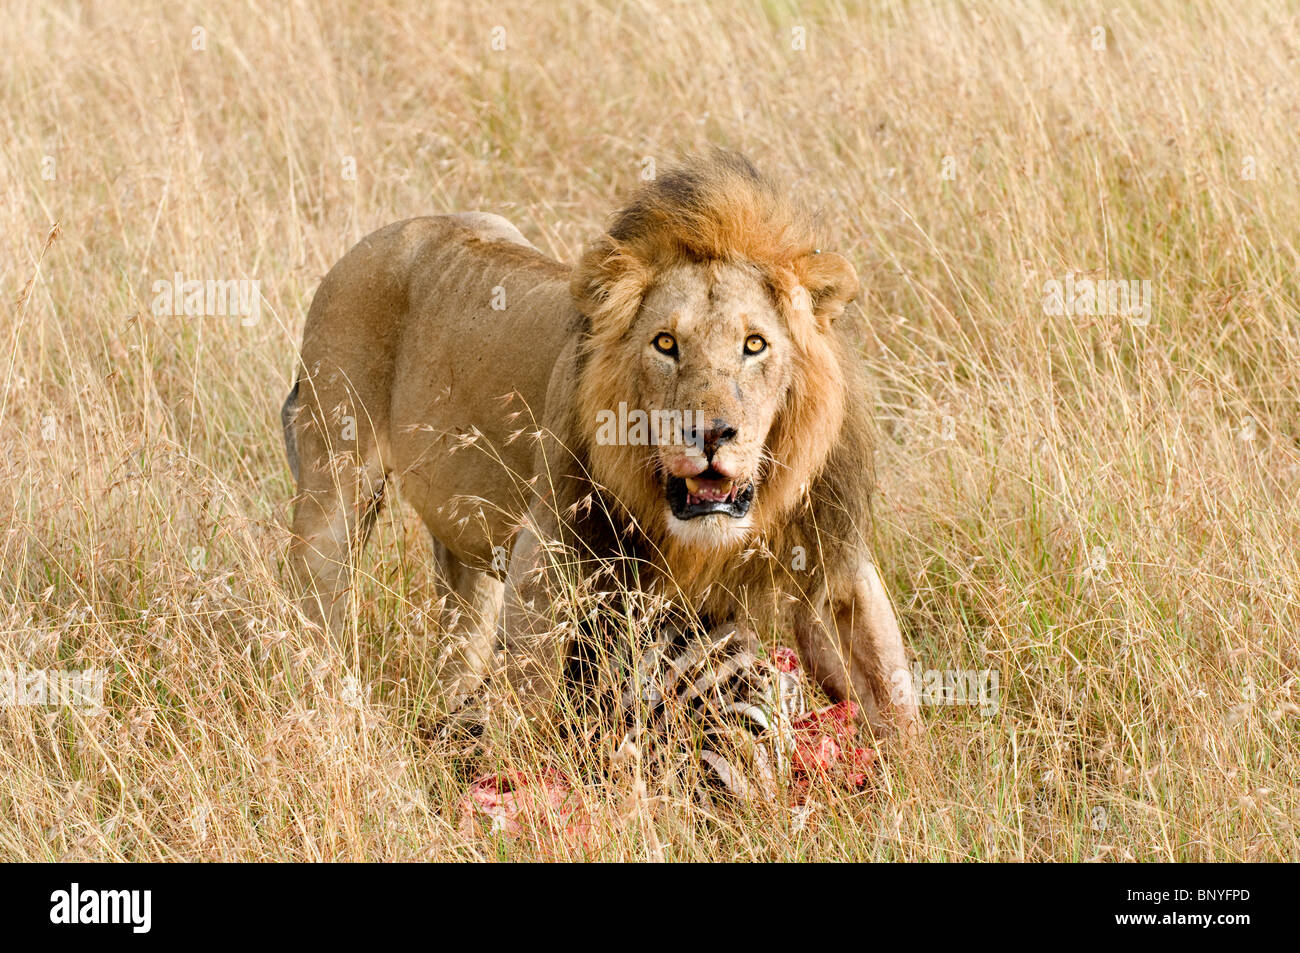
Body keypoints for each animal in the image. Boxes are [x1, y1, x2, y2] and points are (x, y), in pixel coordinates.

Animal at [283, 151, 919, 735]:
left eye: (755, 344)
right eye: (665, 343)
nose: (710, 433)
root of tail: (384, 237)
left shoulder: (831, 557)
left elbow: (887, 685)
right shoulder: (546, 564)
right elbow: (527, 701)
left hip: (465, 553)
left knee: (459, 636)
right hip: (334, 486)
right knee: (315, 615)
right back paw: (330, 719)